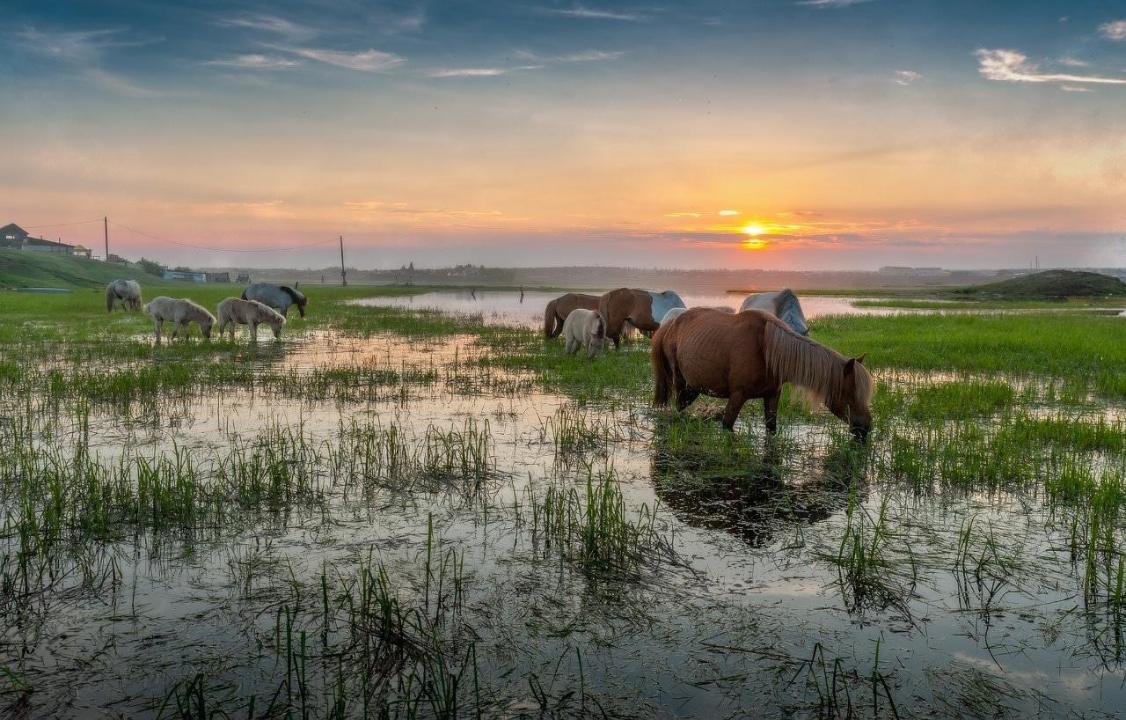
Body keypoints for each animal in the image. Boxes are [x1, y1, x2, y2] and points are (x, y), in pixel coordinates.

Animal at [648, 306, 873, 439]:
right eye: (850, 394)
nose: (866, 427)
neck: (766, 351)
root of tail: (668, 326)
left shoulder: (772, 396)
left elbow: (771, 427)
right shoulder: (737, 396)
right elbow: (727, 425)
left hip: (694, 387)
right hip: (680, 382)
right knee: (679, 406)